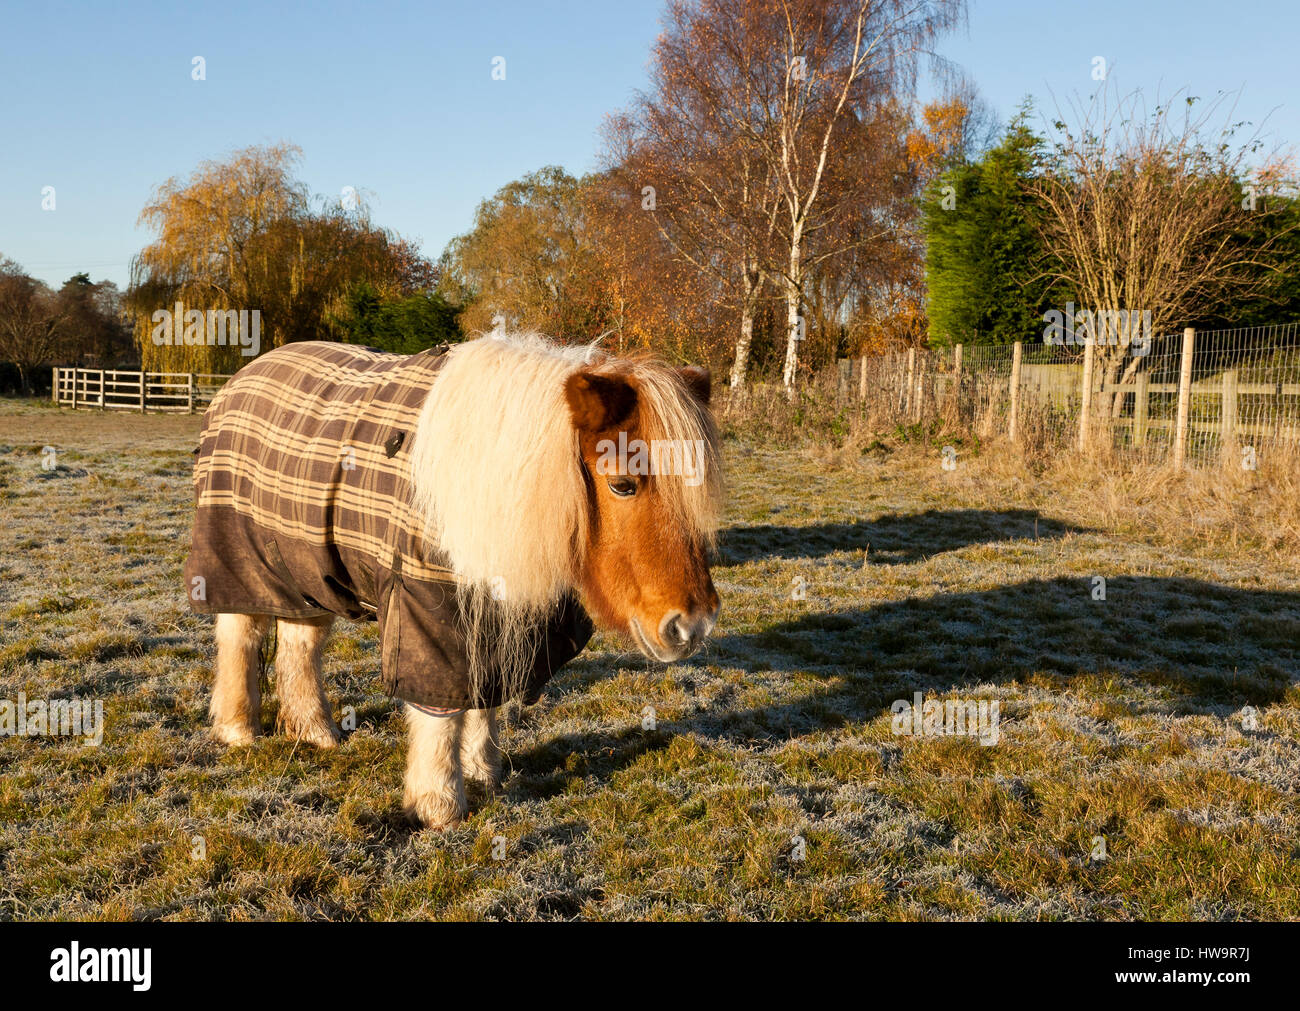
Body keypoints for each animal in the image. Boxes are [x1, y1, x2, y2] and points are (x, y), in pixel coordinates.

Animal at [184, 332, 722, 829]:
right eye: (622, 485)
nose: (692, 625)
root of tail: (241, 378)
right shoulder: (429, 612)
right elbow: (438, 717)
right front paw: (438, 803)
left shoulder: (488, 612)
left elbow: (482, 702)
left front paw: (485, 773)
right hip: (240, 560)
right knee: (241, 636)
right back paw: (238, 729)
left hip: (309, 569)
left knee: (301, 642)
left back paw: (316, 731)